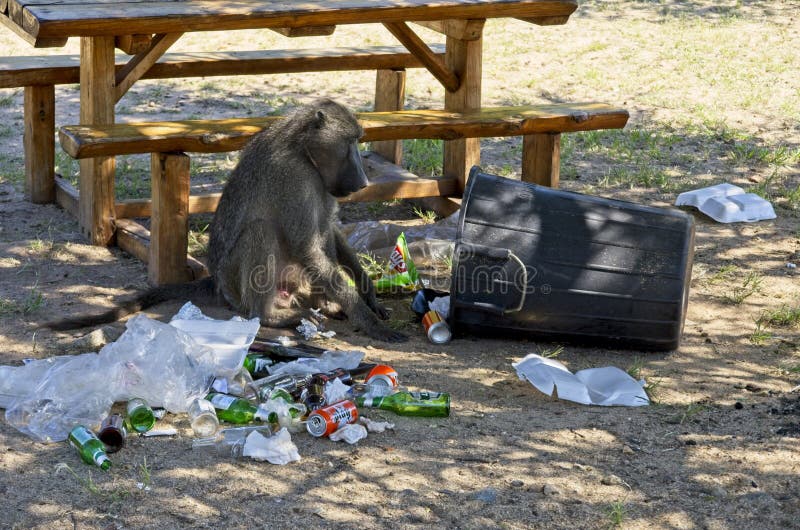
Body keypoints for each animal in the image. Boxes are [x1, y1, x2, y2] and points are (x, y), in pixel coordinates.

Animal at [46, 98, 407, 343]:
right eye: (351, 142)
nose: (363, 181)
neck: (303, 151)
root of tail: (217, 283)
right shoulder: (293, 176)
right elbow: (306, 246)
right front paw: (369, 320)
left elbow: (329, 231)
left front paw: (368, 294)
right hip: (236, 283)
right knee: (262, 233)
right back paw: (272, 316)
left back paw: (323, 305)